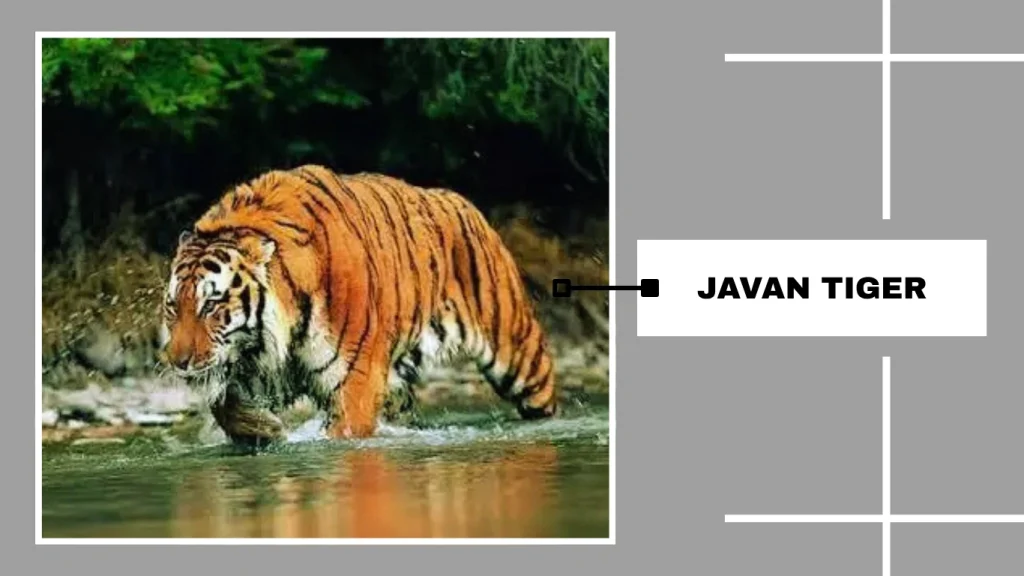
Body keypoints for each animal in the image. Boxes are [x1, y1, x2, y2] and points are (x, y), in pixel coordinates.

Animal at [159, 164, 557, 443]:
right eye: (173, 307)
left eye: (211, 305)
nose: (177, 362)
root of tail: (464, 203)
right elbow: (223, 403)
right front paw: (263, 429)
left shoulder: (355, 381)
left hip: (518, 354)